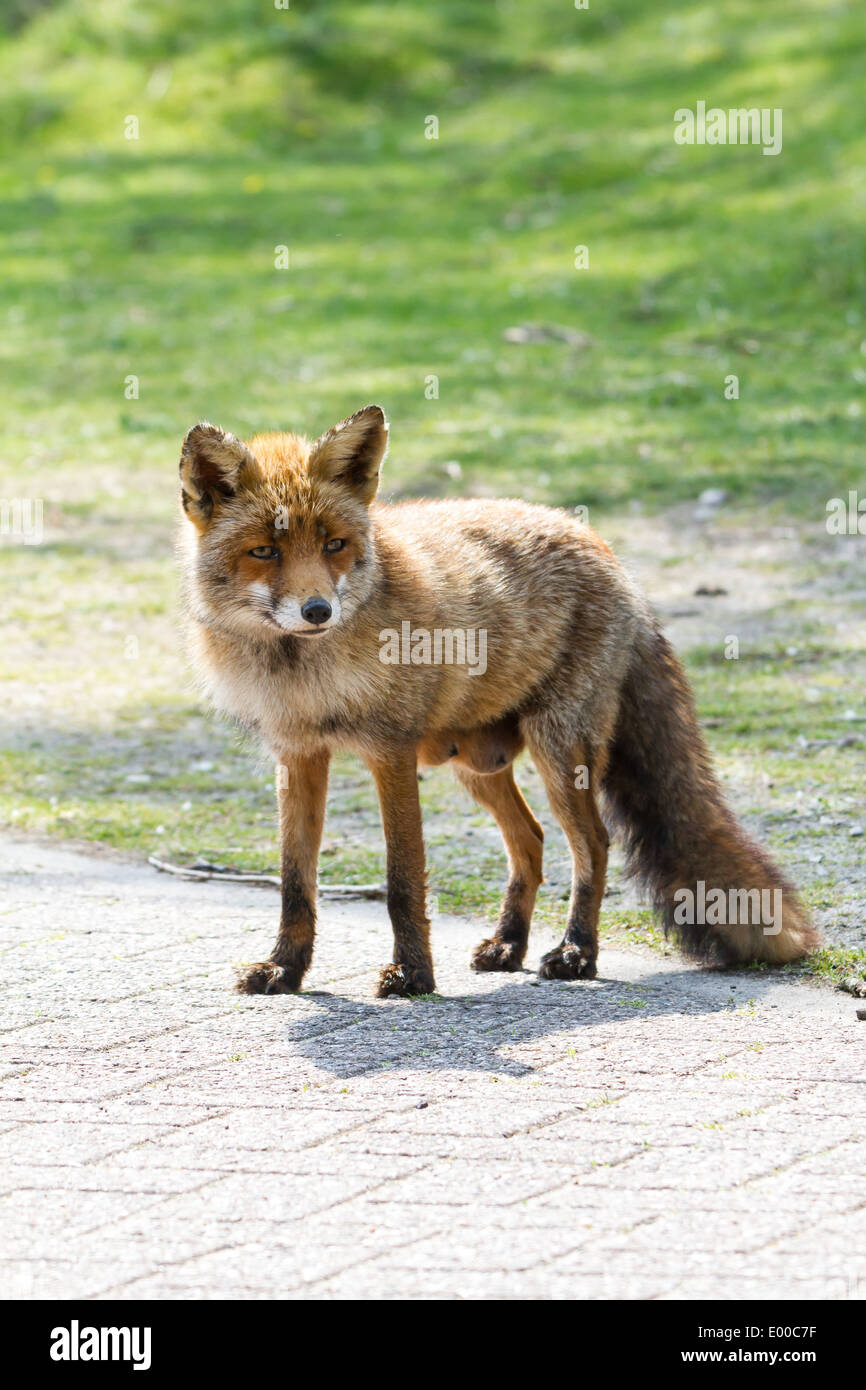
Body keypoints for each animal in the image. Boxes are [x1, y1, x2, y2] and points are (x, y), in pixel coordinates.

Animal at [177, 404, 819, 997]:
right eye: (265, 552)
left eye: (335, 544)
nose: (317, 611)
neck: (303, 673)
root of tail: (606, 550)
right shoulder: (298, 754)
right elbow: (295, 883)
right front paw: (285, 969)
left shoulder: (391, 751)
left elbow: (402, 879)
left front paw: (413, 976)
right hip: (475, 765)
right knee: (531, 841)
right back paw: (510, 944)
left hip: (559, 752)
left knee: (593, 844)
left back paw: (576, 953)